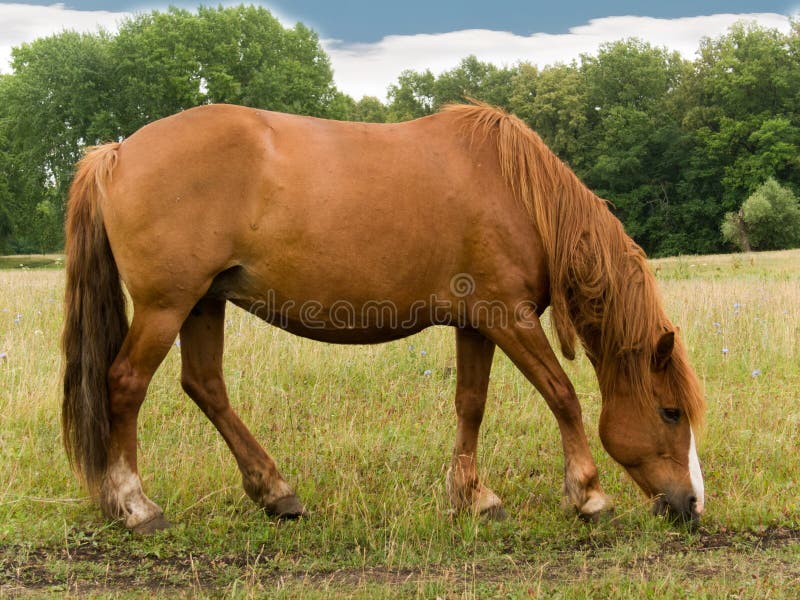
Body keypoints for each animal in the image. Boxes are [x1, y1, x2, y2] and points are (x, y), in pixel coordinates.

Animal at [62, 102, 705, 533]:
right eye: (671, 412)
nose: (692, 505)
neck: (518, 194)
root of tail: (115, 153)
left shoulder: (477, 323)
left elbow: (471, 404)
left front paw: (473, 497)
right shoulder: (508, 316)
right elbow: (563, 395)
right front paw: (589, 495)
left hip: (202, 302)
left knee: (205, 386)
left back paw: (276, 492)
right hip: (167, 305)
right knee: (125, 385)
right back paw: (136, 506)